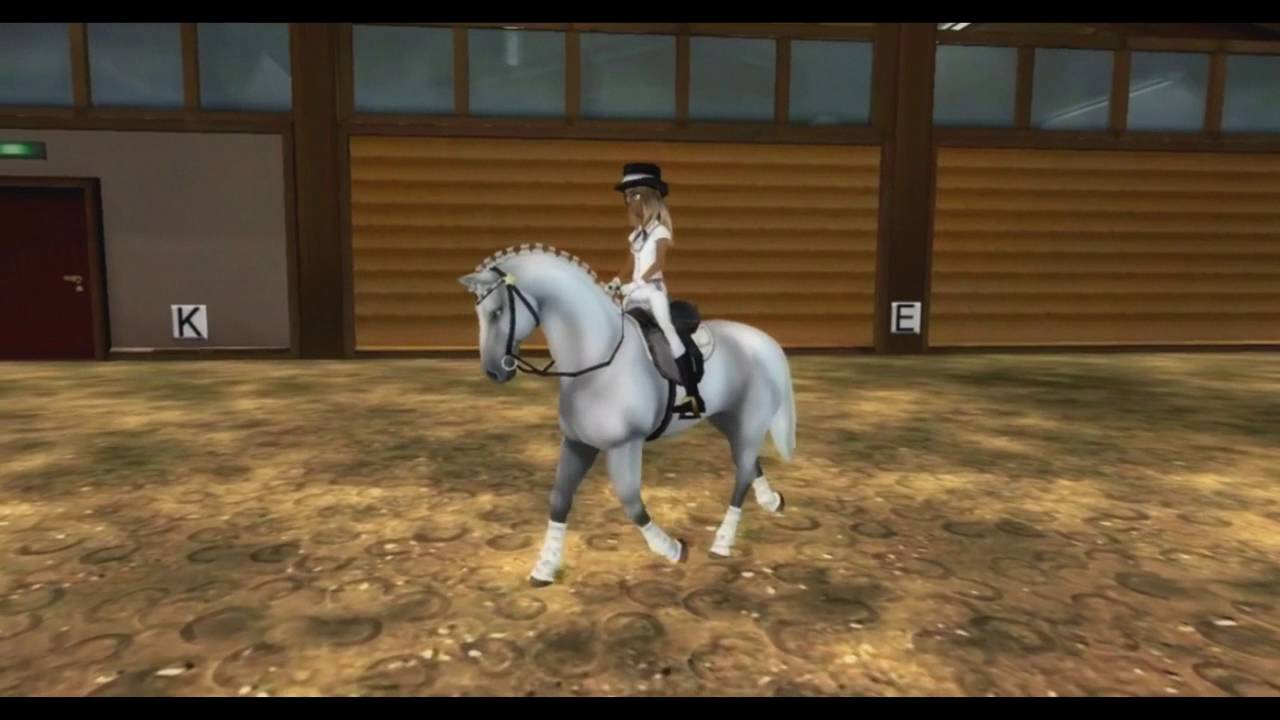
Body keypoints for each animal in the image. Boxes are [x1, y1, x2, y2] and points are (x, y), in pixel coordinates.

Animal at [457, 244, 796, 587]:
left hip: (750, 420)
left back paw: (723, 542)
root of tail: (764, 341)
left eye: (498, 312)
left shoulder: (625, 446)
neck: (596, 361)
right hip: (727, 418)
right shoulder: (577, 443)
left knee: (741, 473)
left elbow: (631, 502)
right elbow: (559, 498)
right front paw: (545, 566)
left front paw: (672, 548)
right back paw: (770, 501)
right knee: (750, 464)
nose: (495, 371)